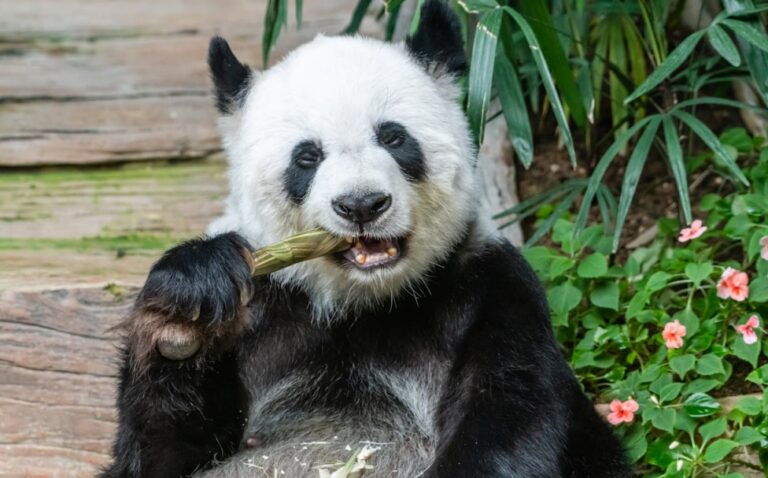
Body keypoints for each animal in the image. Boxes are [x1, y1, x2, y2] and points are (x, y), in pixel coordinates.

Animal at [101, 1, 631, 477]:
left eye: (393, 137)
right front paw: (185, 315)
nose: (361, 204)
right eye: (307, 157)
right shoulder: (268, 306)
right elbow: (161, 454)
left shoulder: (489, 287)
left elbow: (508, 415)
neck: (361, 302)